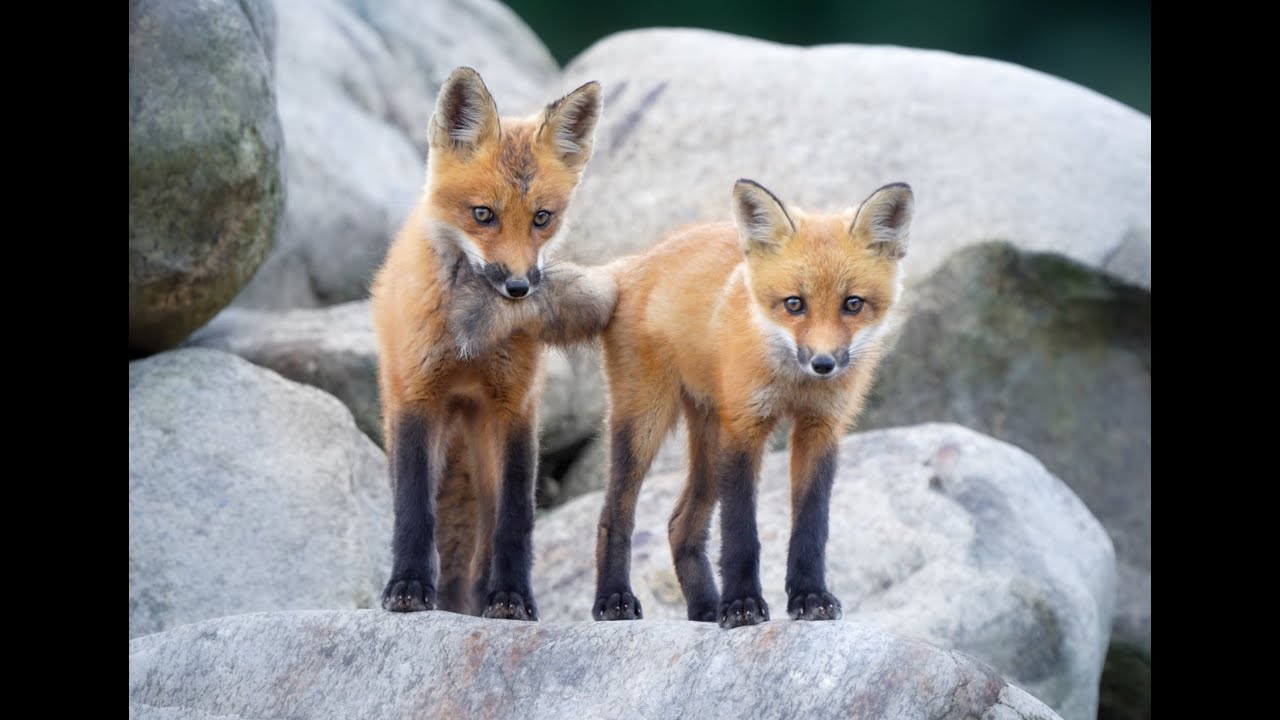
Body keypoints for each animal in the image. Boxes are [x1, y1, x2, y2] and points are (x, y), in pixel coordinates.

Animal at [370, 67, 616, 621]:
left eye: (542, 218)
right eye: (483, 214)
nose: (519, 288)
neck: (471, 341)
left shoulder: (515, 407)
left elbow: (515, 519)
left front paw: (511, 596)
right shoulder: (417, 397)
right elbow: (413, 509)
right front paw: (408, 586)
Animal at [591, 178, 914, 629]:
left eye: (853, 303)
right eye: (794, 303)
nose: (823, 364)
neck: (793, 381)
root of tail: (635, 262)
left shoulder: (821, 428)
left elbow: (811, 527)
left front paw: (810, 596)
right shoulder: (746, 426)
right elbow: (740, 531)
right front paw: (742, 604)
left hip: (709, 444)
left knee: (680, 526)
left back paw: (705, 609)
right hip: (644, 424)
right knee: (614, 515)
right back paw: (614, 598)